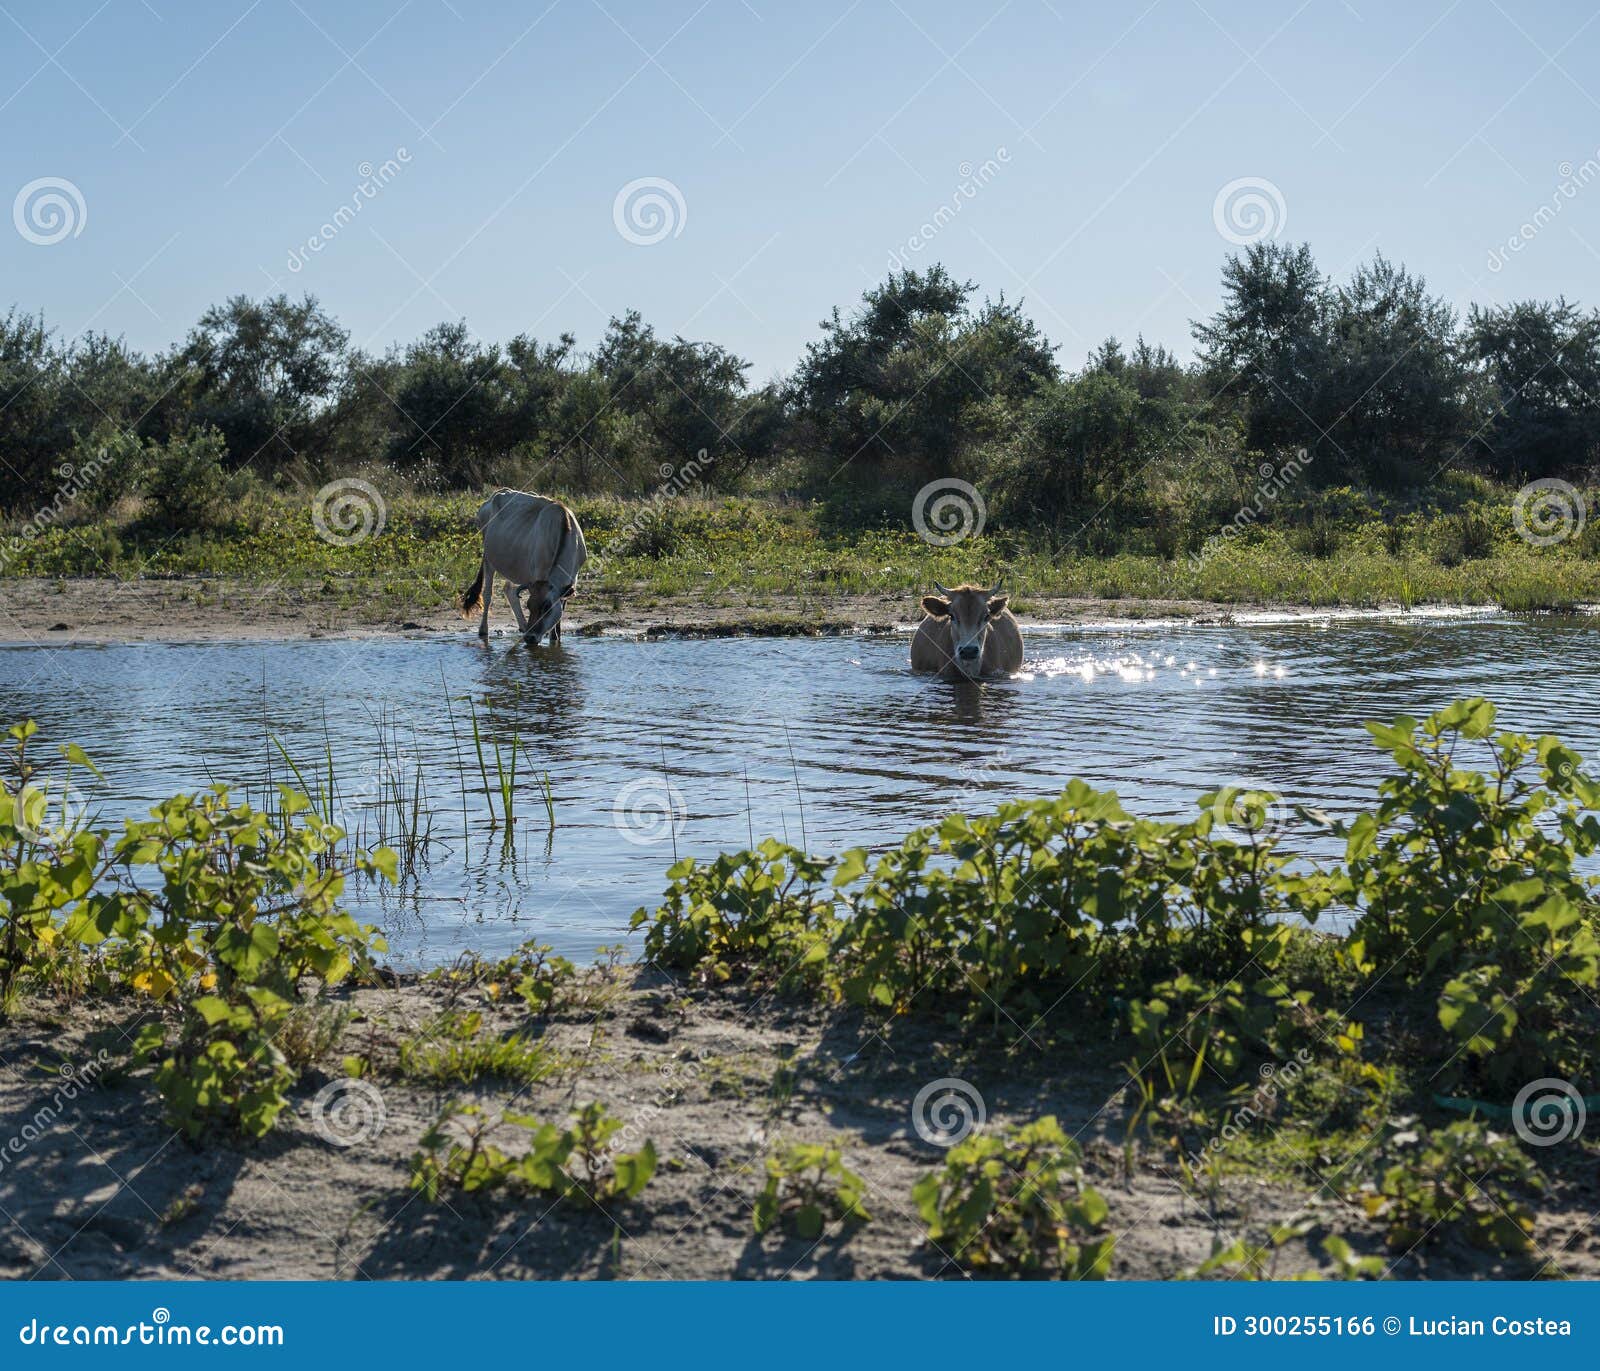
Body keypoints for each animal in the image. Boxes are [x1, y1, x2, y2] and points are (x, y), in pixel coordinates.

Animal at [459, 490, 587, 645]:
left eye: (547, 607)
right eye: (529, 605)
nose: (530, 638)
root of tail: (495, 495)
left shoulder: (571, 580)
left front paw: (555, 638)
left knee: (509, 589)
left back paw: (523, 626)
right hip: (489, 560)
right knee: (488, 594)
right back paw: (484, 630)